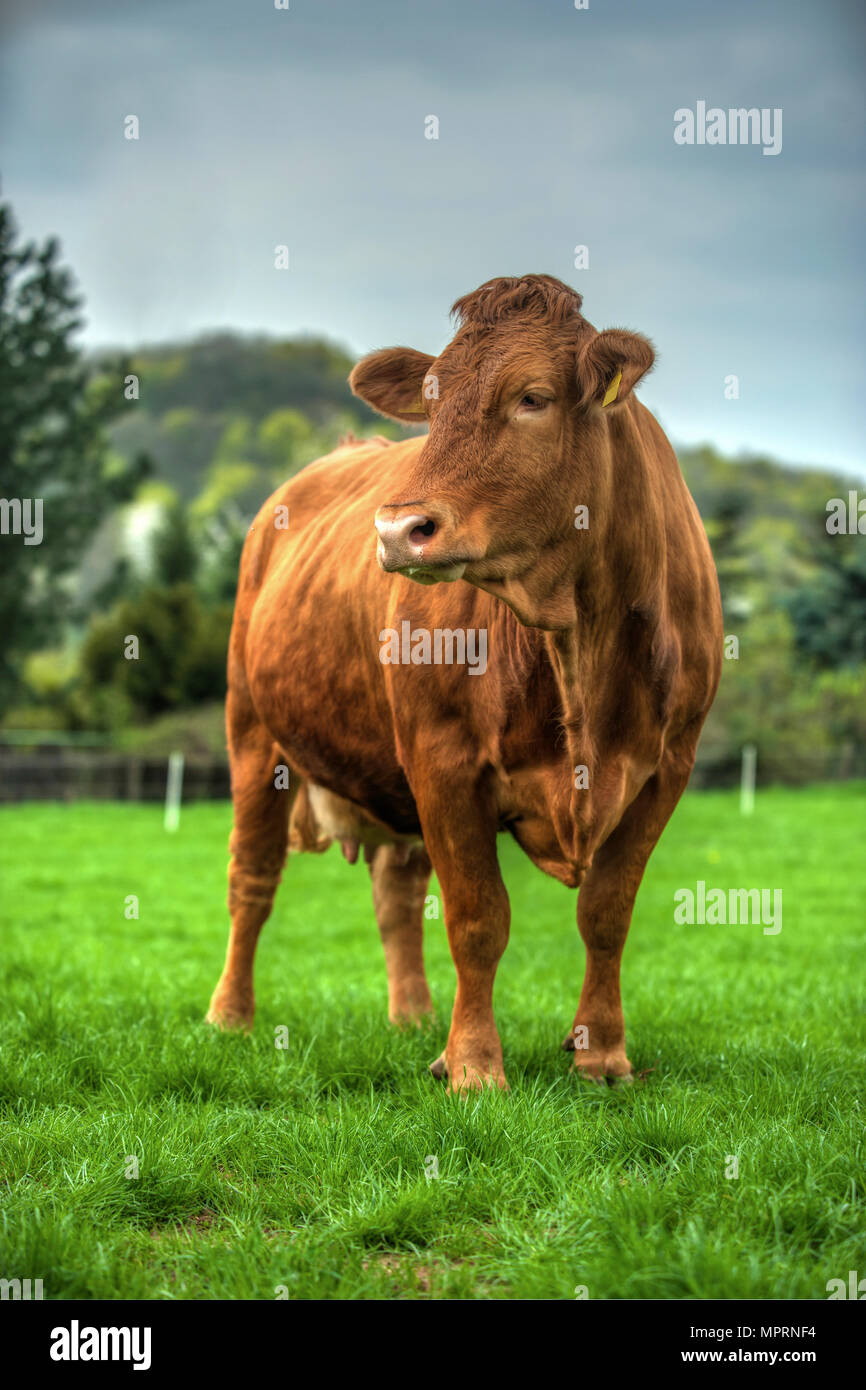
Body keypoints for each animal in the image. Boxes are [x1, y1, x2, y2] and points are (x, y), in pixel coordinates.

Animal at [206, 274, 722, 1092]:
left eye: (533, 397)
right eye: (432, 403)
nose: (398, 529)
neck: (577, 641)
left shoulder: (666, 769)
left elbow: (607, 913)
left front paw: (602, 1055)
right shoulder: (442, 761)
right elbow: (479, 919)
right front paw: (476, 1067)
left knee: (395, 891)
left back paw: (417, 1020)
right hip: (254, 733)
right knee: (251, 879)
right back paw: (231, 1017)